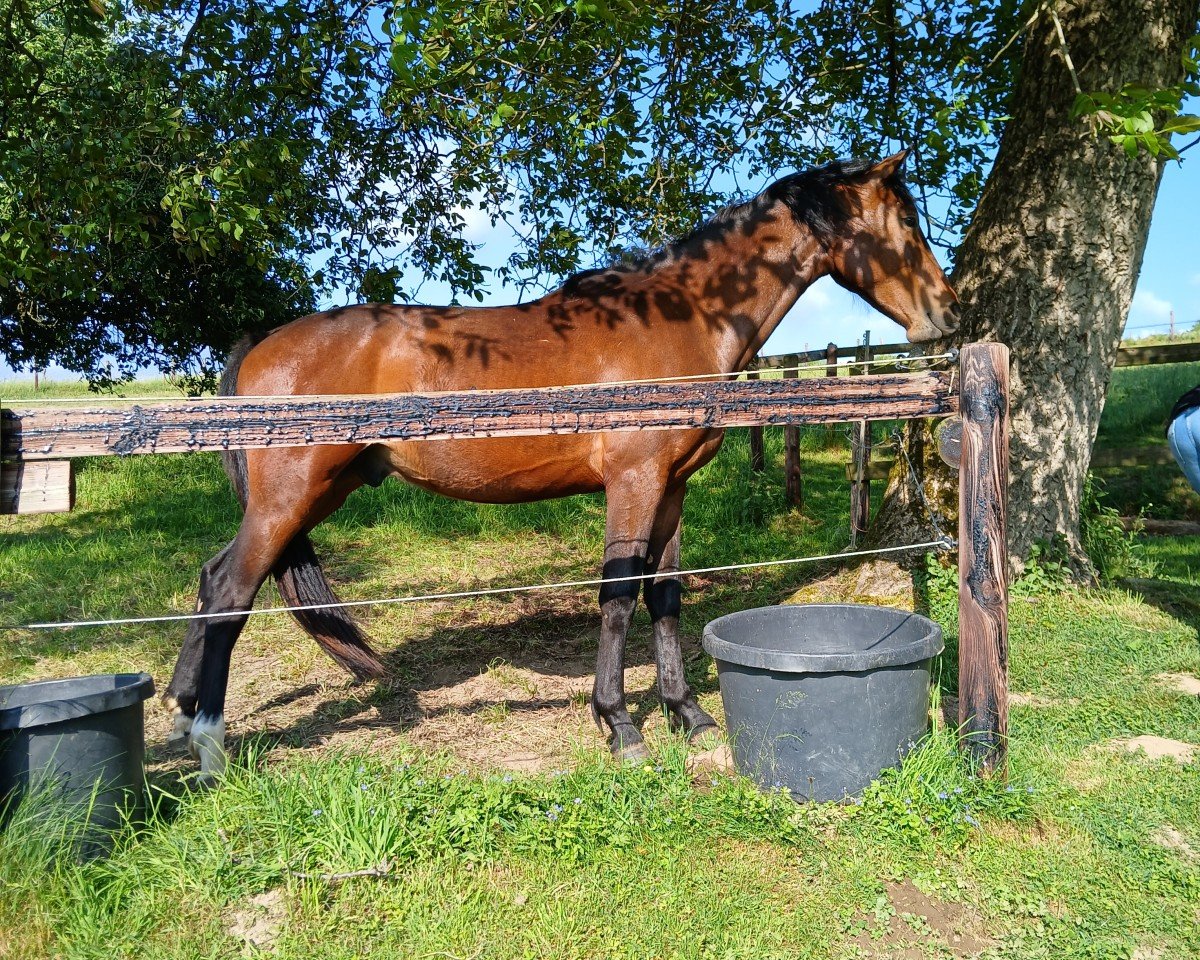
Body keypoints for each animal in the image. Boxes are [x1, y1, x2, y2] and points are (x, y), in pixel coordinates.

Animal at [163, 150, 960, 780]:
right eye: (906, 222)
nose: (948, 315)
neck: (679, 319)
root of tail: (264, 344)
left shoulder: (673, 490)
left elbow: (664, 596)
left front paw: (688, 715)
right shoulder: (633, 485)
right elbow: (618, 598)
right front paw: (620, 726)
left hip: (321, 492)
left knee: (213, 577)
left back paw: (179, 710)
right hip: (292, 496)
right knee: (231, 590)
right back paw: (209, 747)